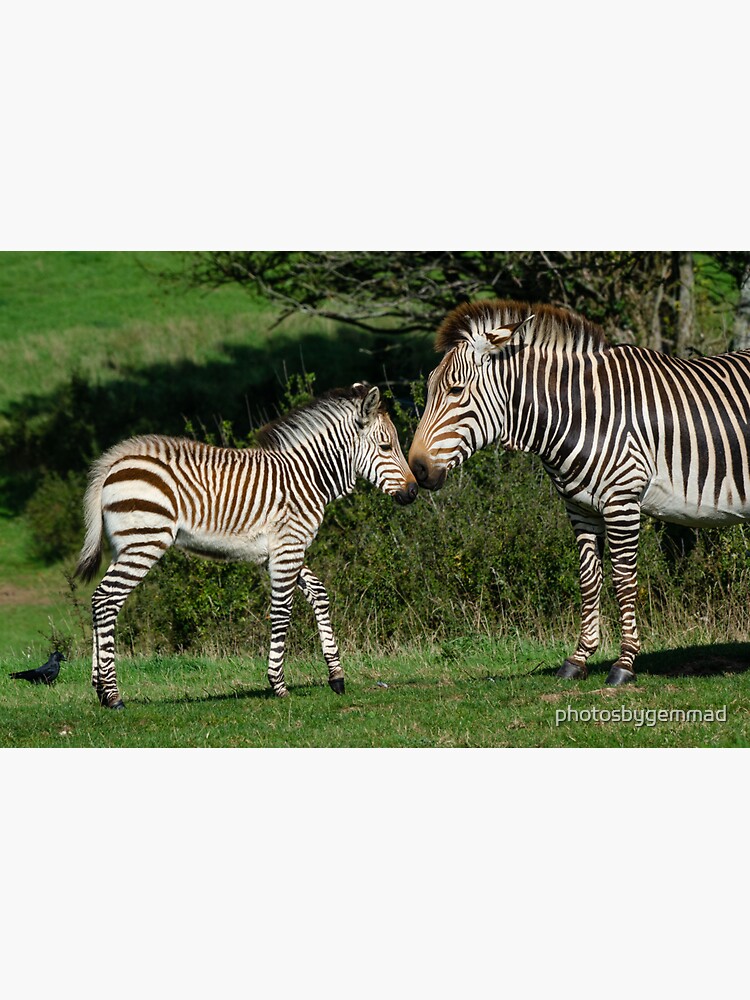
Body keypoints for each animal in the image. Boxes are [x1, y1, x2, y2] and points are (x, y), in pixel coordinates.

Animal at [74, 383, 418, 708]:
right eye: (386, 446)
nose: (414, 491)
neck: (307, 478)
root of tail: (116, 461)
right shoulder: (288, 546)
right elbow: (282, 611)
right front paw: (278, 684)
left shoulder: (281, 551)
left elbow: (319, 594)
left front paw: (336, 675)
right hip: (145, 541)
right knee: (108, 600)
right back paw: (113, 695)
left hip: (127, 545)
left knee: (99, 598)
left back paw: (99, 688)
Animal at [408, 299, 750, 686]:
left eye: (455, 391)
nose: (417, 469)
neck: (580, 415)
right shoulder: (580, 509)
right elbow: (589, 579)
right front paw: (578, 658)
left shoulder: (622, 501)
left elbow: (623, 579)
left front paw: (624, 664)